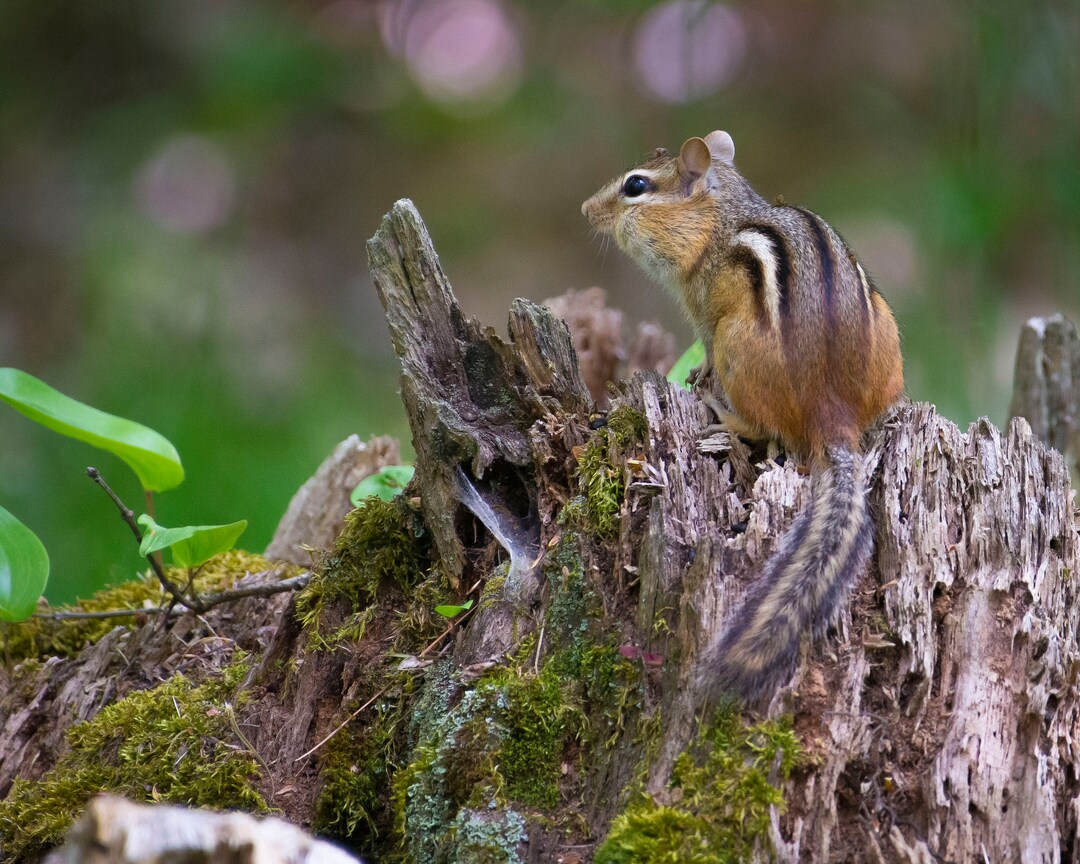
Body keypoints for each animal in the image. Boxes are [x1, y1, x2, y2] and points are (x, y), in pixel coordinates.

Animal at [581, 131, 904, 701]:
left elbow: (704, 352)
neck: (720, 220)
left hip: (738, 349)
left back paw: (722, 414)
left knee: (761, 425)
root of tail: (833, 417)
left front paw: (697, 376)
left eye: (635, 186)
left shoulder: (703, 314)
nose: (586, 210)